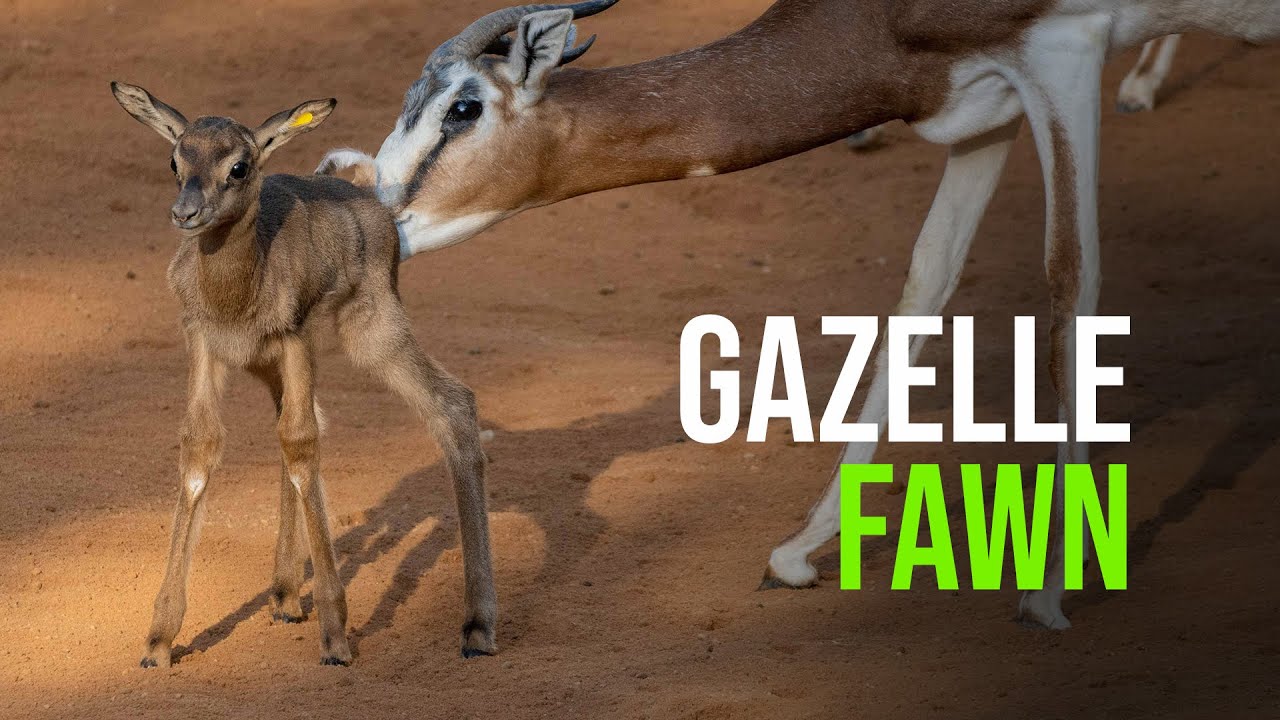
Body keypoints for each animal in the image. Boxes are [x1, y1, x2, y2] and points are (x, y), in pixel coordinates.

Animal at [110, 82, 497, 667]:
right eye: (175, 159)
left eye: (240, 166)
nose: (186, 212)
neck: (235, 292)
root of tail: (367, 197)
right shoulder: (204, 344)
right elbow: (201, 448)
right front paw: (158, 642)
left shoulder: (294, 339)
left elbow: (300, 441)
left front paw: (336, 638)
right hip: (274, 365)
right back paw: (286, 596)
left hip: (372, 332)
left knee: (451, 403)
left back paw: (477, 628)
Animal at [319, 0, 1280, 630]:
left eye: (463, 107)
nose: (374, 215)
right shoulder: (979, 101)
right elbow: (924, 284)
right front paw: (802, 550)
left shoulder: (1064, 53)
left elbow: (1068, 287)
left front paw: (1045, 591)